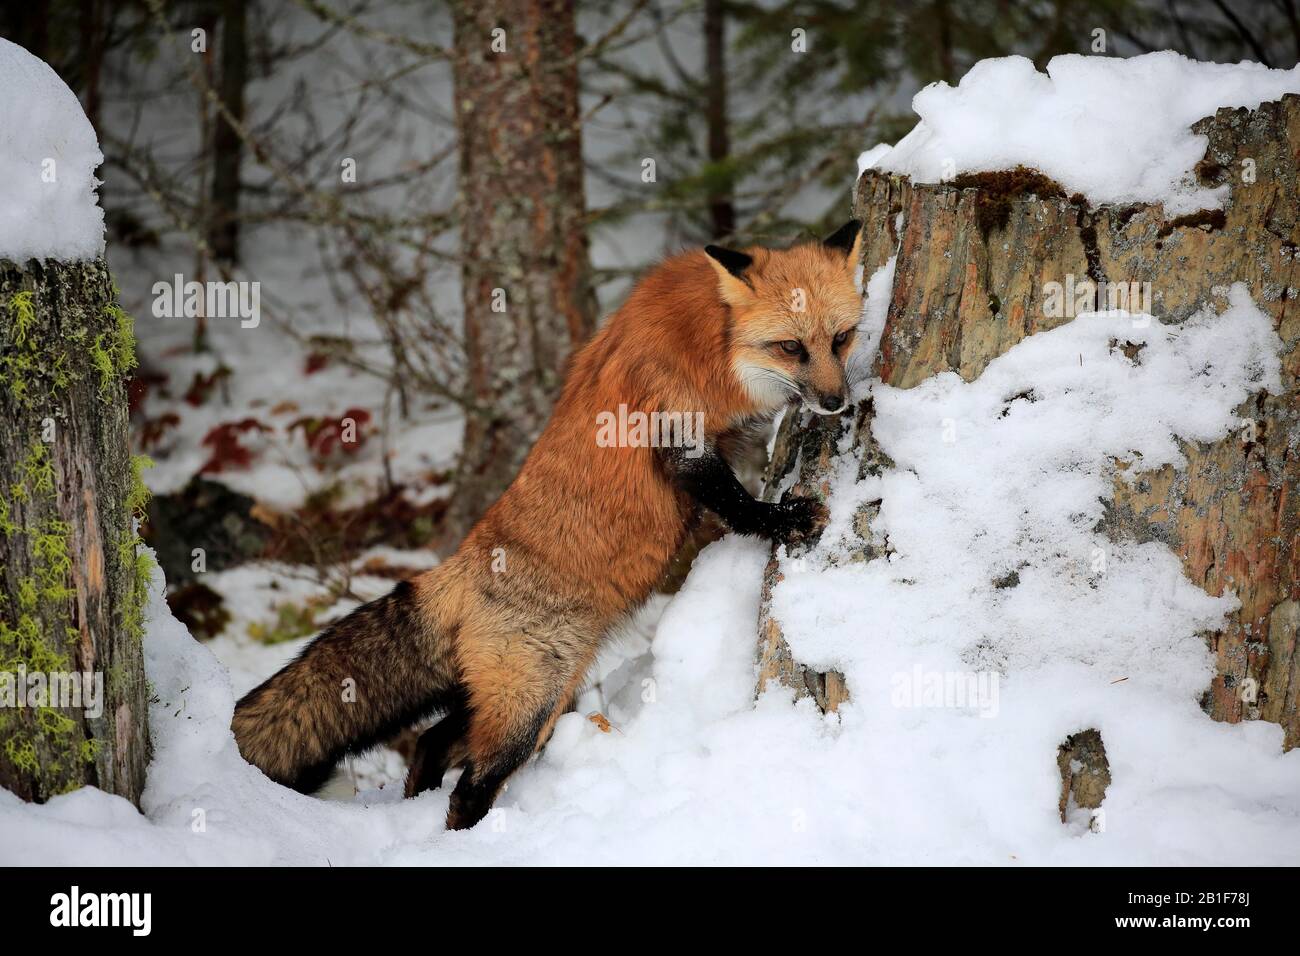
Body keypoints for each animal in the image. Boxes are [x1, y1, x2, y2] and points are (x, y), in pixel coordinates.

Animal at [232, 220, 866, 830]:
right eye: (790, 346)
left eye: (840, 338)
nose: (838, 402)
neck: (710, 337)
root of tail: (456, 568)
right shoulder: (678, 437)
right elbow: (736, 503)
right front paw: (787, 520)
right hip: (530, 707)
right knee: (469, 789)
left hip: (530, 696)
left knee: (431, 742)